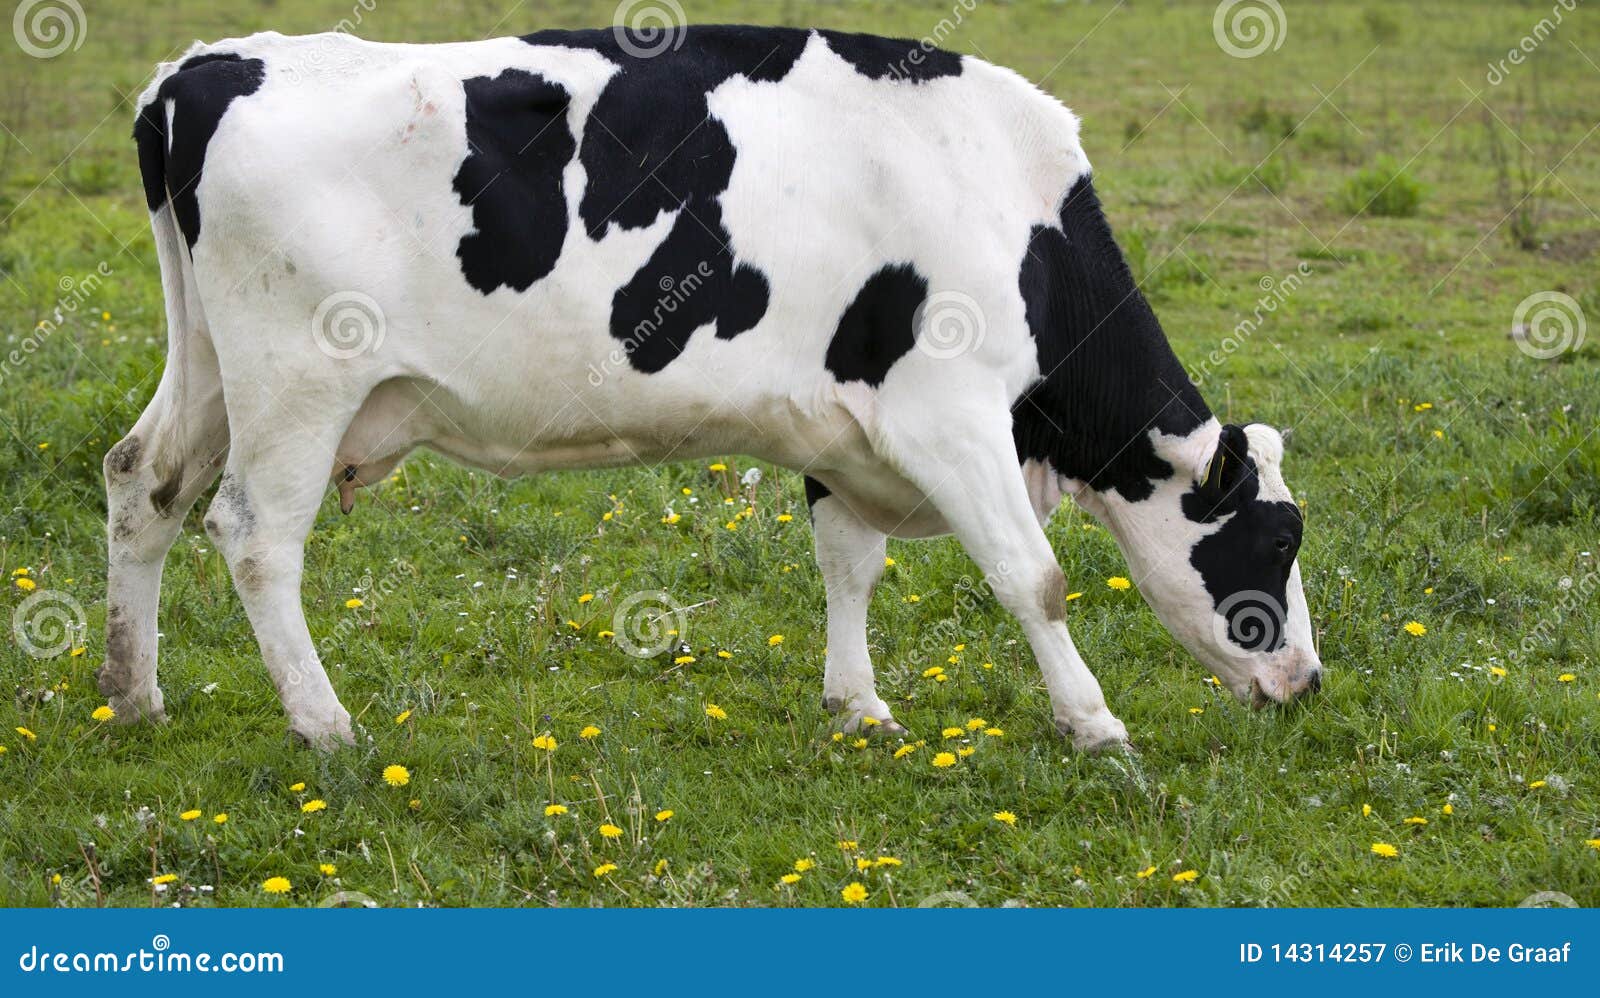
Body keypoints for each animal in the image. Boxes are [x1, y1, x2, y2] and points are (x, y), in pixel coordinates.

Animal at [103, 25, 1321, 752]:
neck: (1006, 204)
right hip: (298, 381)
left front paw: (858, 704)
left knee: (140, 482)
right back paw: (326, 724)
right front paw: (1095, 723)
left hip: (210, 365)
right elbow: (1039, 580)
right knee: (255, 535)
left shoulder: (845, 426)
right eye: (1275, 541)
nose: (1307, 681)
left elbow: (849, 566)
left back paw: (134, 692)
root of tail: (207, 64)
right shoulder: (949, 413)